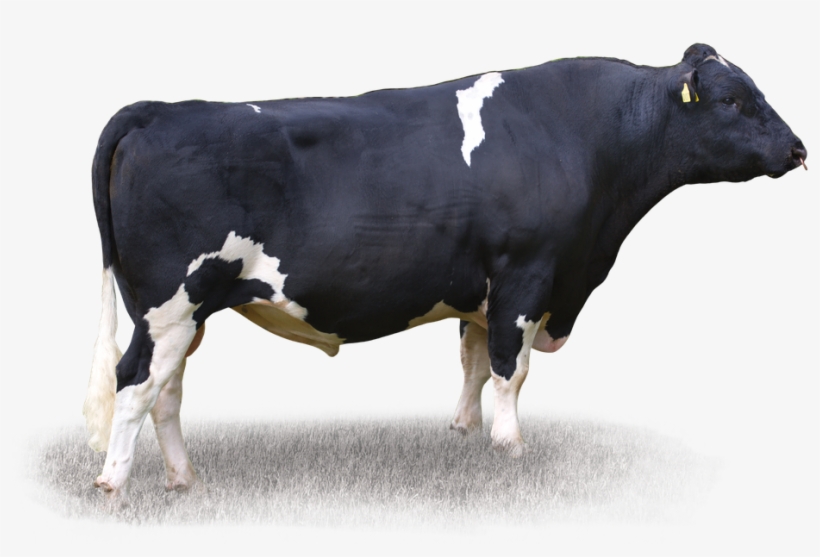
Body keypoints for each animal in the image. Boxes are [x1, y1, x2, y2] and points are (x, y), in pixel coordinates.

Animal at [84, 44, 807, 499]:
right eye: (734, 101)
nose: (800, 149)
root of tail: (159, 108)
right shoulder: (527, 275)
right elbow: (511, 369)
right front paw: (511, 450)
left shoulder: (479, 288)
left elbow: (473, 361)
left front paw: (463, 433)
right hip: (173, 301)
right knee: (135, 382)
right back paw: (114, 484)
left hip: (184, 312)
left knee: (167, 391)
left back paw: (183, 479)